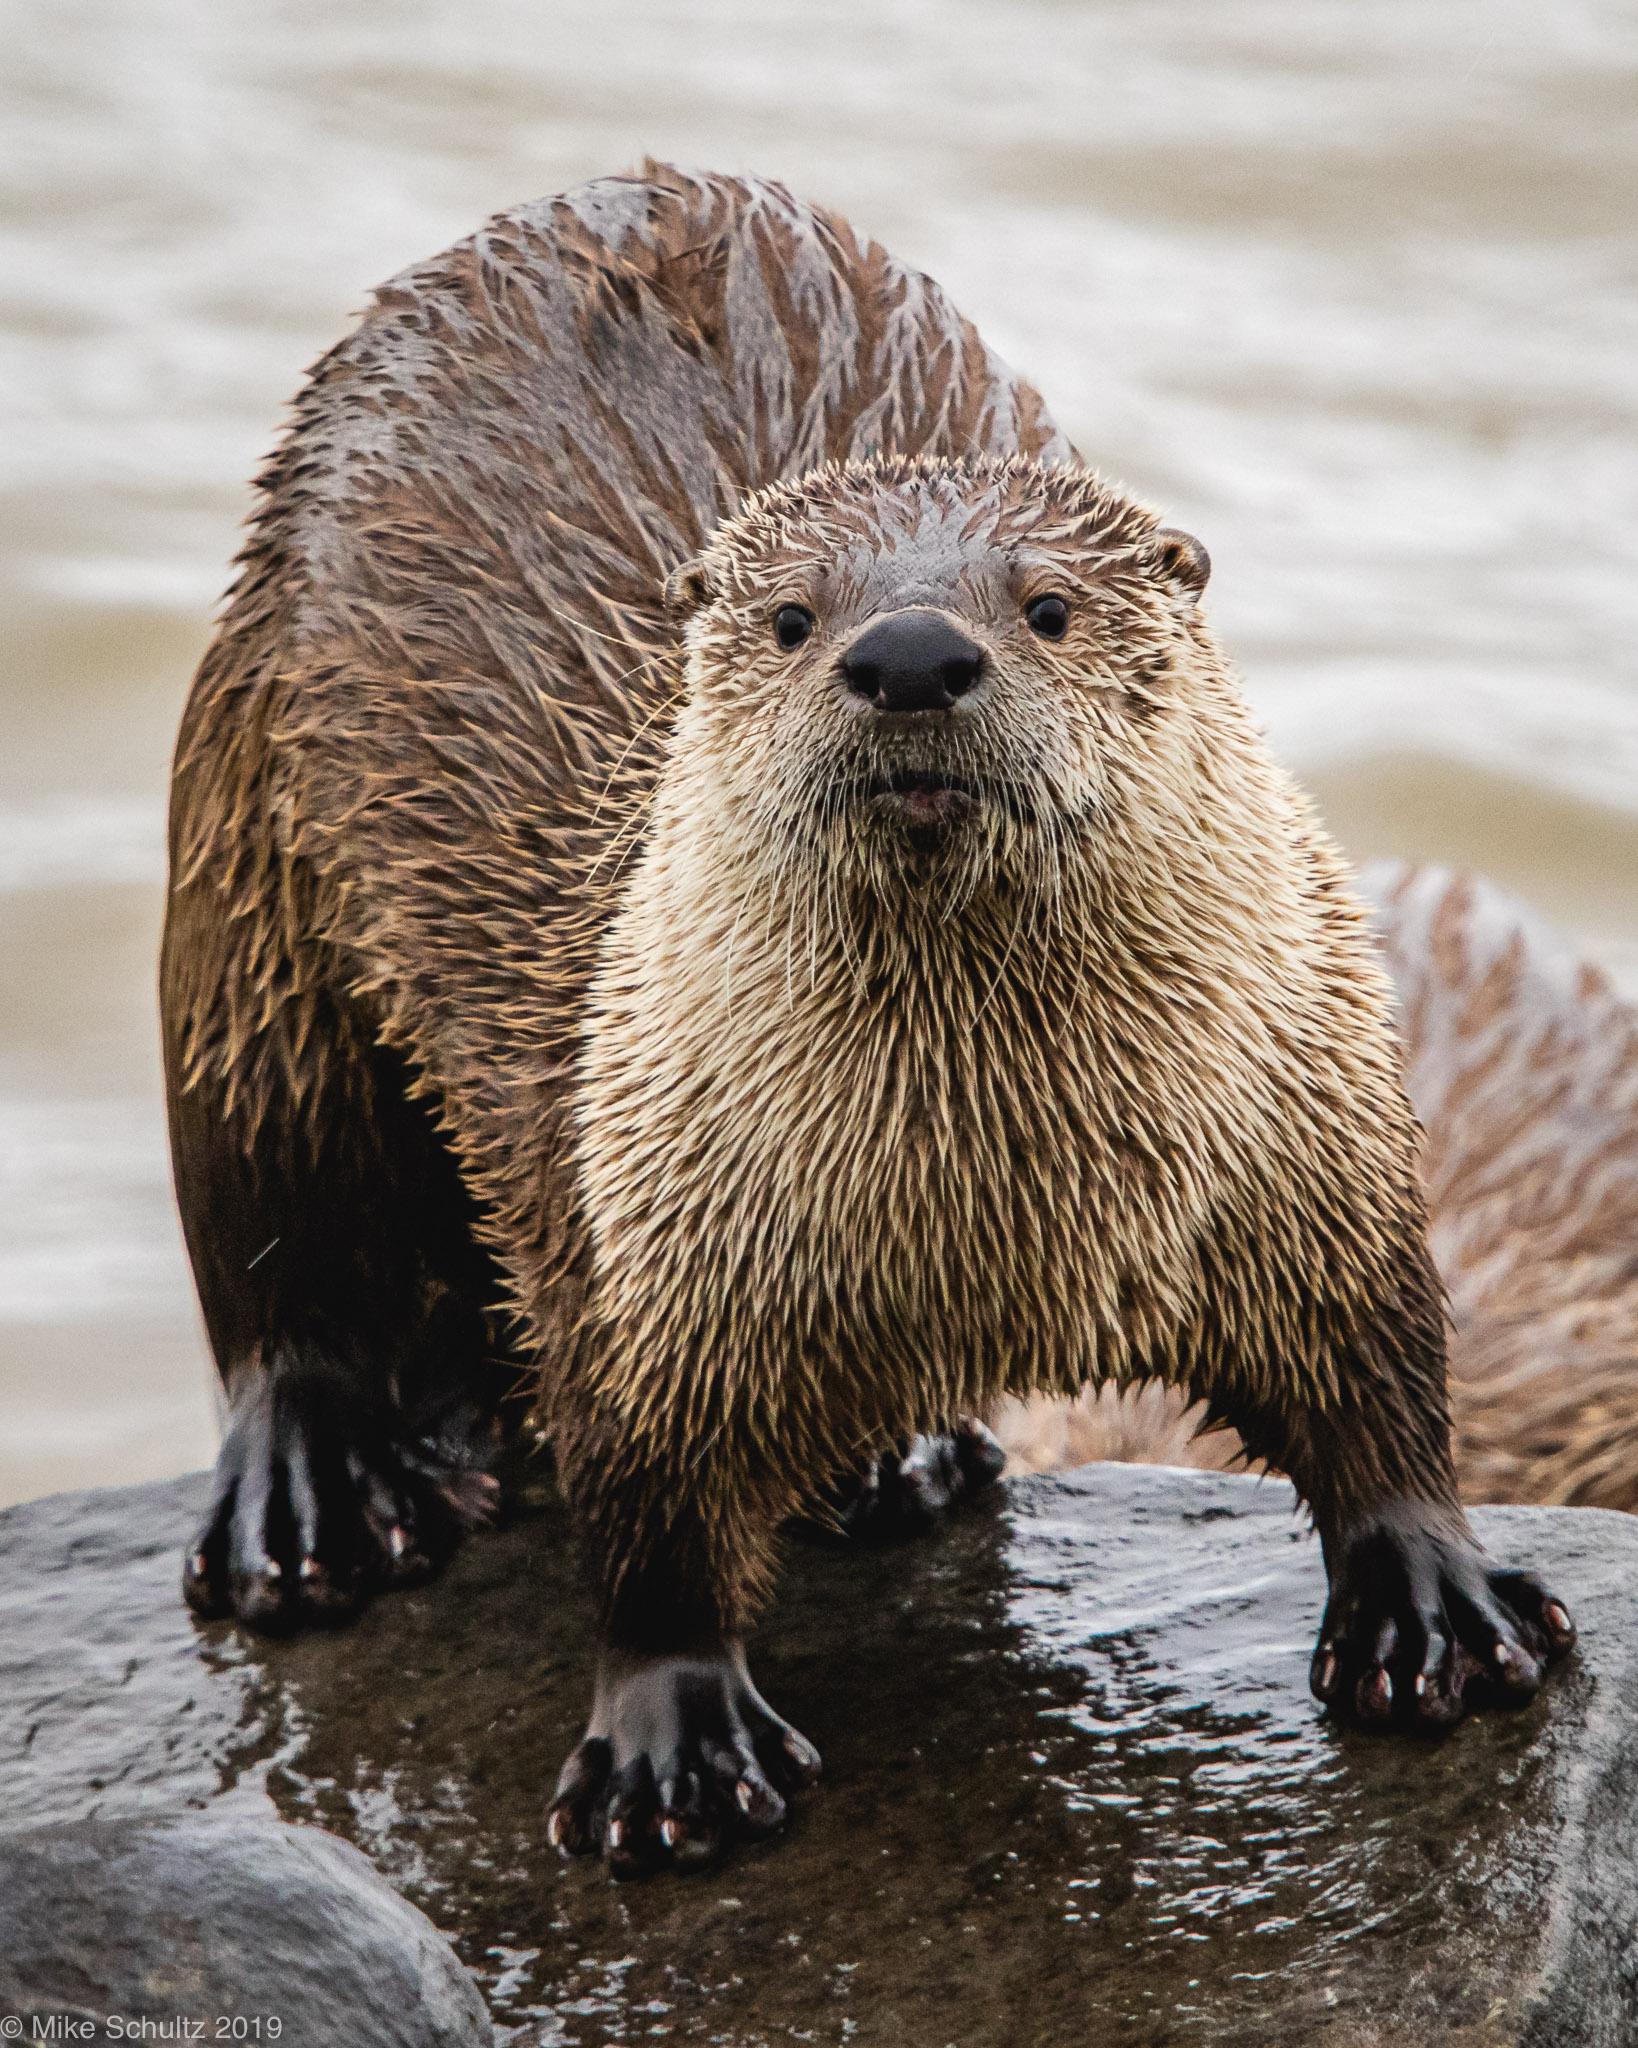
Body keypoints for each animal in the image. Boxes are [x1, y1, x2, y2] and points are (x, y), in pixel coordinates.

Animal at [162, 162, 1574, 1878]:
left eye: (1047, 606)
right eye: (786, 616)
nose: (907, 652)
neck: (985, 1208)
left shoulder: (1312, 1129)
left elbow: (1381, 1376)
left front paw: (1431, 1606)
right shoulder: (623, 1227)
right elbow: (642, 1503)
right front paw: (673, 1743)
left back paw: (901, 1464)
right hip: (247, 857)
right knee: (270, 1219)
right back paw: (308, 1497)